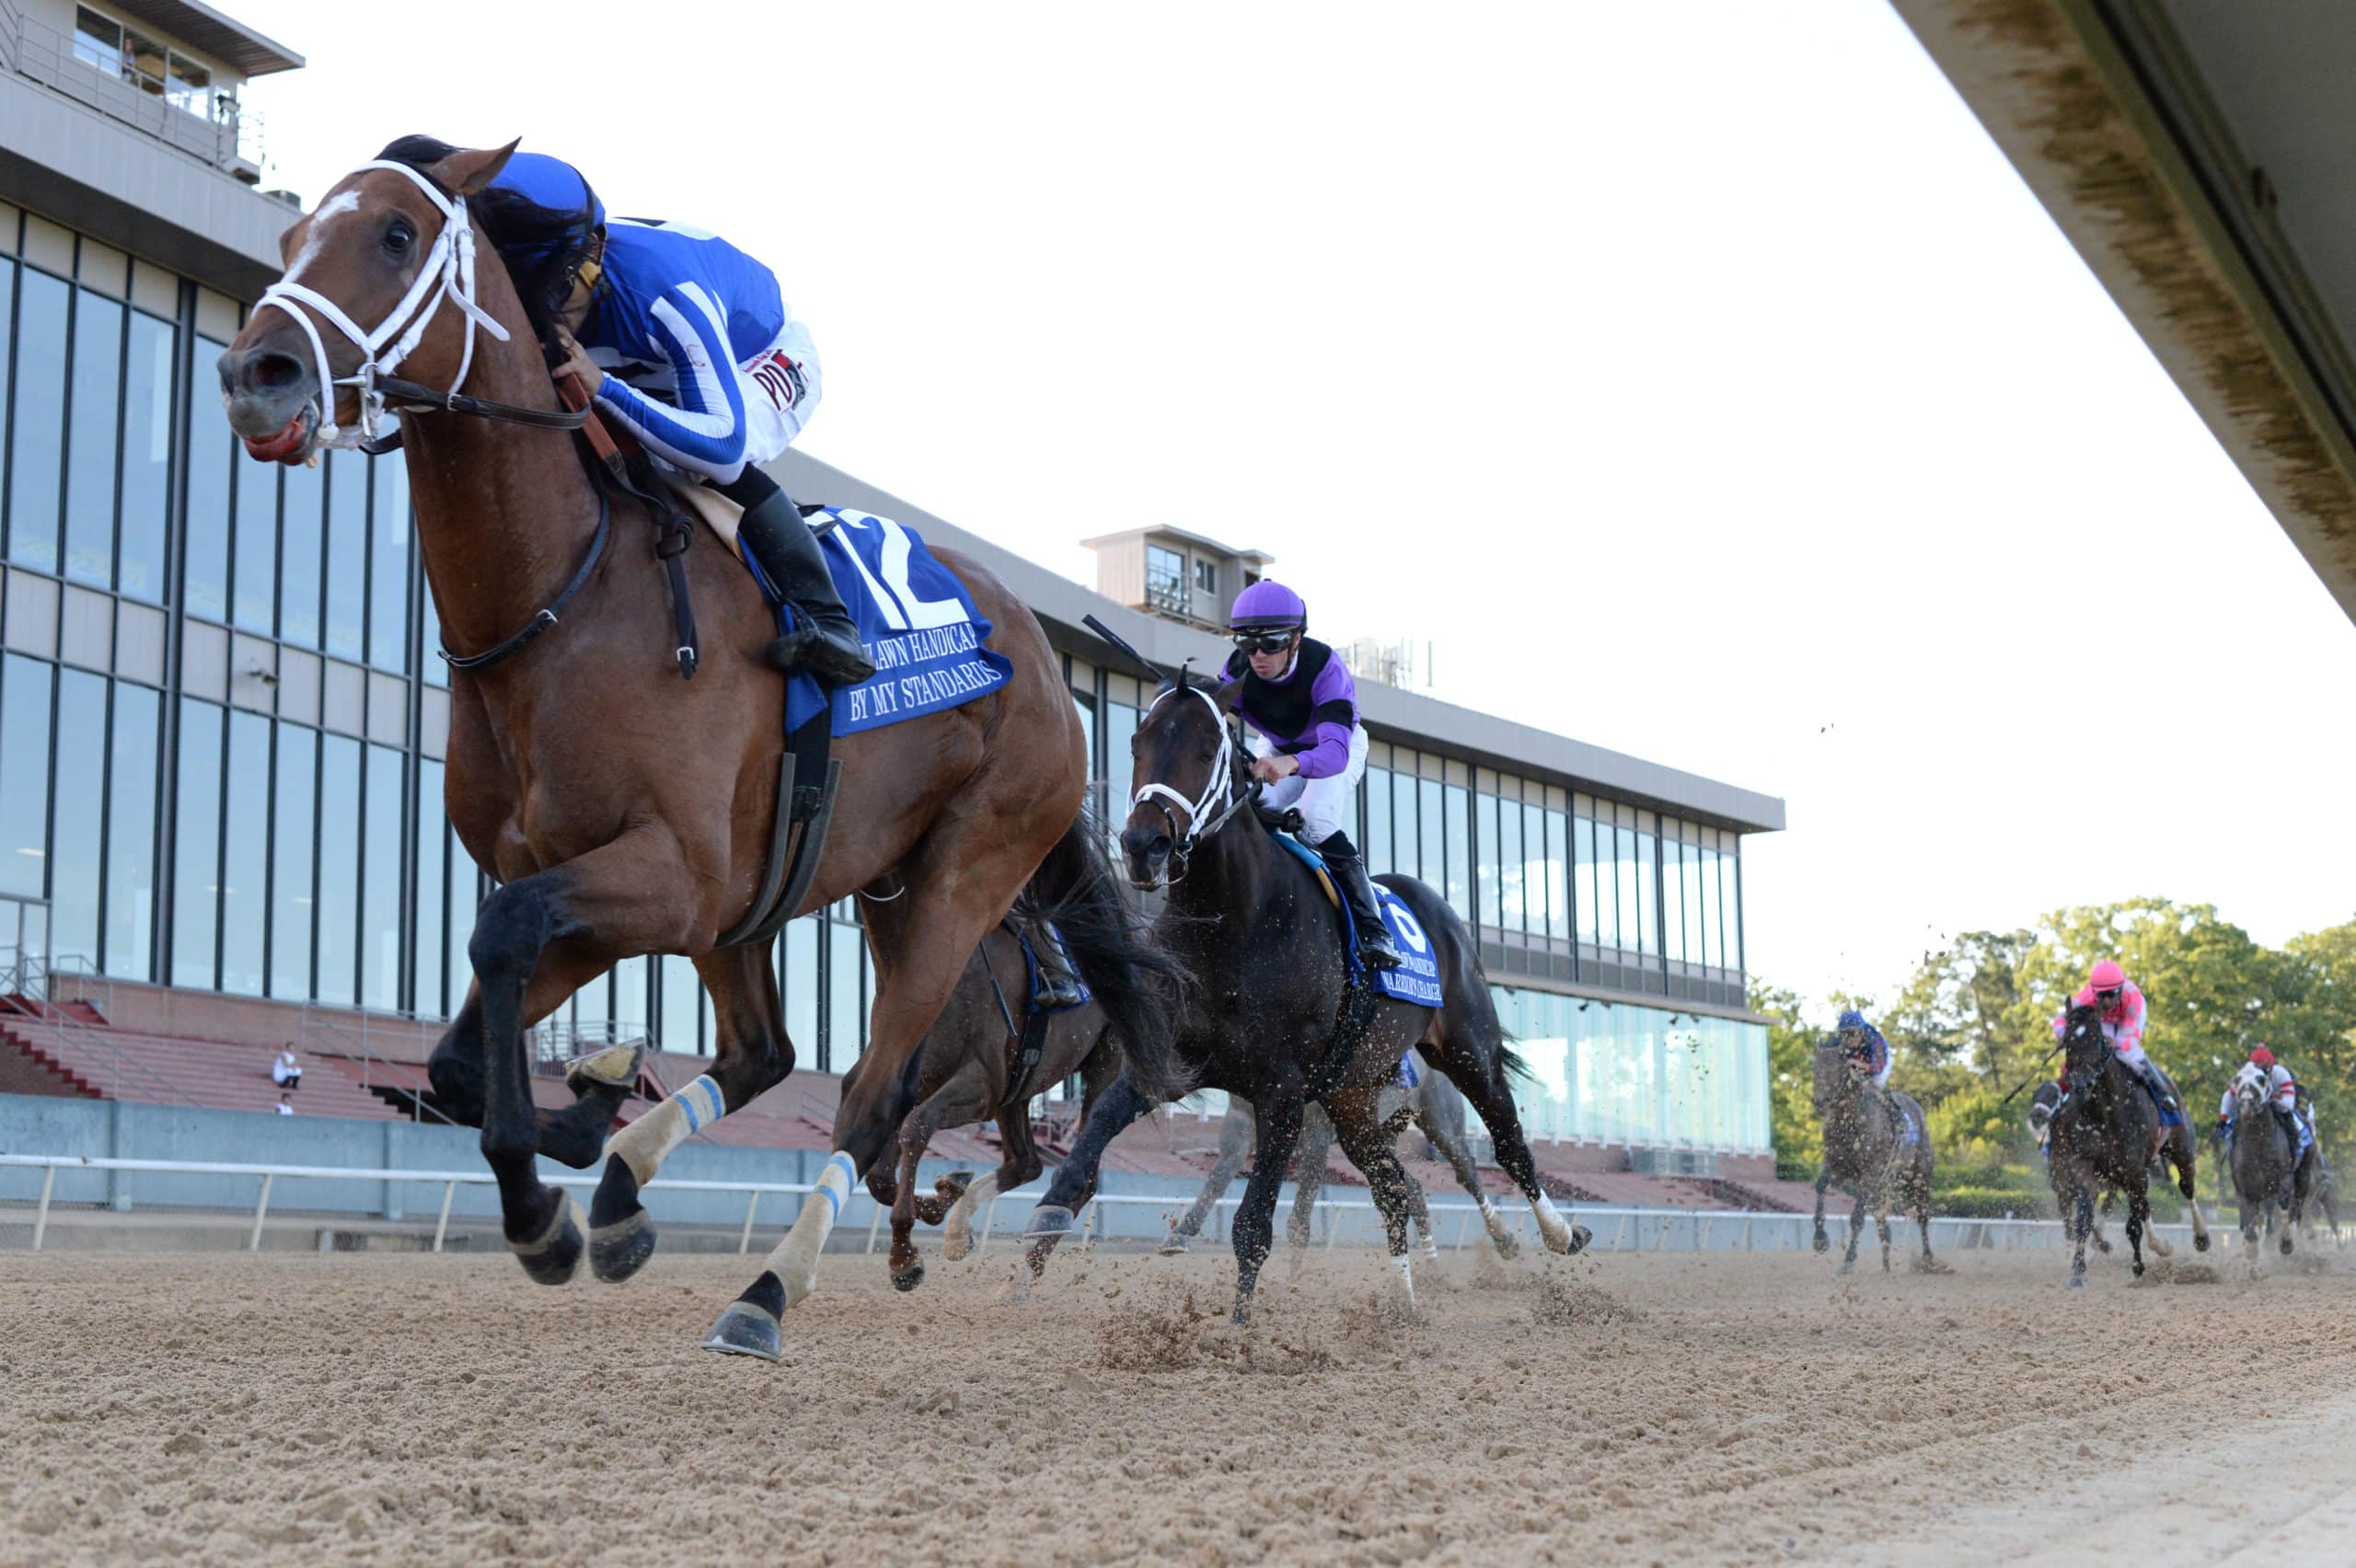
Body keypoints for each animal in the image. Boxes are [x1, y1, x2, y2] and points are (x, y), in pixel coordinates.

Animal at [216, 140, 1186, 1362]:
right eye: (292, 241)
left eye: (396, 235)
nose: (255, 372)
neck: (559, 602)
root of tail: (1055, 676)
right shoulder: (606, 879)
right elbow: (458, 1045)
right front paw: (579, 1147)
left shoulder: (669, 876)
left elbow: (499, 936)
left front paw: (541, 1207)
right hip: (796, 893)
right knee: (766, 1052)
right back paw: (625, 1184)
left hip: (957, 882)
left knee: (875, 1097)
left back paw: (766, 1290)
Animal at [1159, 1058, 1521, 1260]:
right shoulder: (1242, 1120)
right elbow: (1219, 1177)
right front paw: (1179, 1236)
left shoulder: (1315, 1133)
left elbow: (1301, 1213)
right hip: (1380, 1133)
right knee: (1410, 1185)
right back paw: (1431, 1263)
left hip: (1439, 1121)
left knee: (1467, 1171)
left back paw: (1505, 1240)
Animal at [1809, 1041, 1936, 1274]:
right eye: (1815, 1068)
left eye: (1837, 1069)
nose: (1820, 1101)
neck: (1850, 1122)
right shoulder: (1836, 1165)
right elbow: (1821, 1186)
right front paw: (1820, 1240)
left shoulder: (1871, 1173)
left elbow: (1857, 1218)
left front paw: (1848, 1261)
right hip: (1884, 1185)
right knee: (1882, 1220)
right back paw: (1886, 1264)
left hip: (1917, 1177)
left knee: (1922, 1216)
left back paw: (1928, 1260)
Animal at [2047, 1001, 2209, 1286]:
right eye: (2067, 1040)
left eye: (2097, 1039)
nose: (2080, 1084)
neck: (2102, 1112)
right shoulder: (2082, 1166)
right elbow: (2084, 1218)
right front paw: (2077, 1270)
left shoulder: (2134, 1169)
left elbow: (2133, 1224)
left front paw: (2139, 1267)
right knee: (2140, 1206)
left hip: (2181, 1150)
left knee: (2186, 1188)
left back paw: (2200, 1237)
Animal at [2225, 1062, 2313, 1269]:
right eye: (2237, 1079)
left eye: (2261, 1079)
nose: (2246, 1104)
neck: (2257, 1142)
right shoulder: (2244, 1187)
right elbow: (2249, 1220)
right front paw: (2251, 1252)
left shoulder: (2282, 1180)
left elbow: (2284, 1205)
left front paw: (2285, 1243)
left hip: (2303, 1175)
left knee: (2295, 1207)